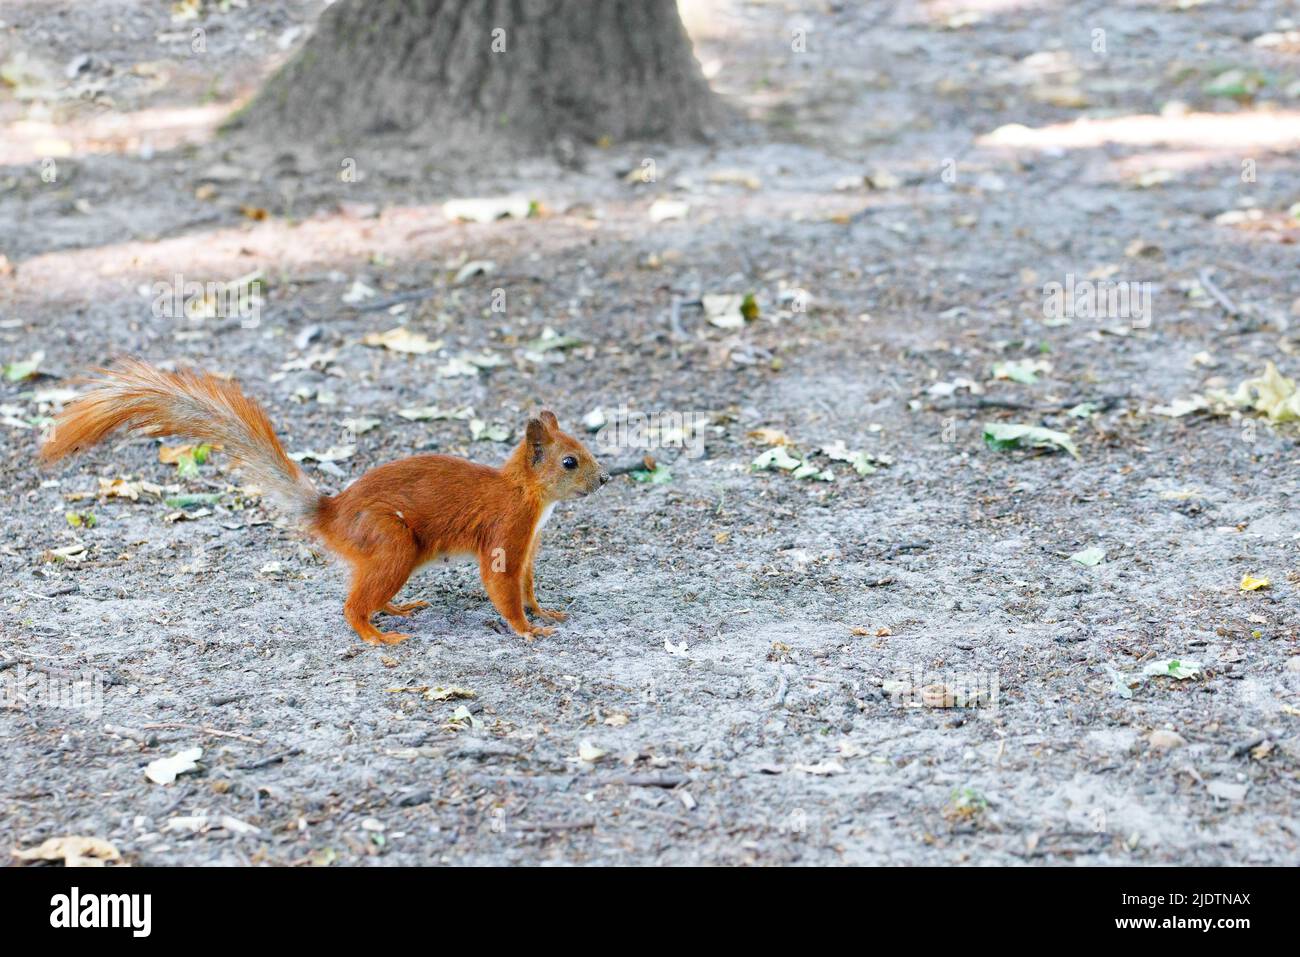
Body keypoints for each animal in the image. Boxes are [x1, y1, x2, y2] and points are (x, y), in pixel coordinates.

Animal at [38, 358, 609, 645]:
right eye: (570, 462)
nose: (604, 479)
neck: (526, 494)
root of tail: (332, 514)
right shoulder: (506, 533)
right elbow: (504, 588)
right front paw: (527, 630)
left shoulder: (528, 545)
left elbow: (528, 586)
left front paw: (546, 612)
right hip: (392, 541)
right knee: (352, 605)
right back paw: (378, 638)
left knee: (369, 592)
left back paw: (397, 610)